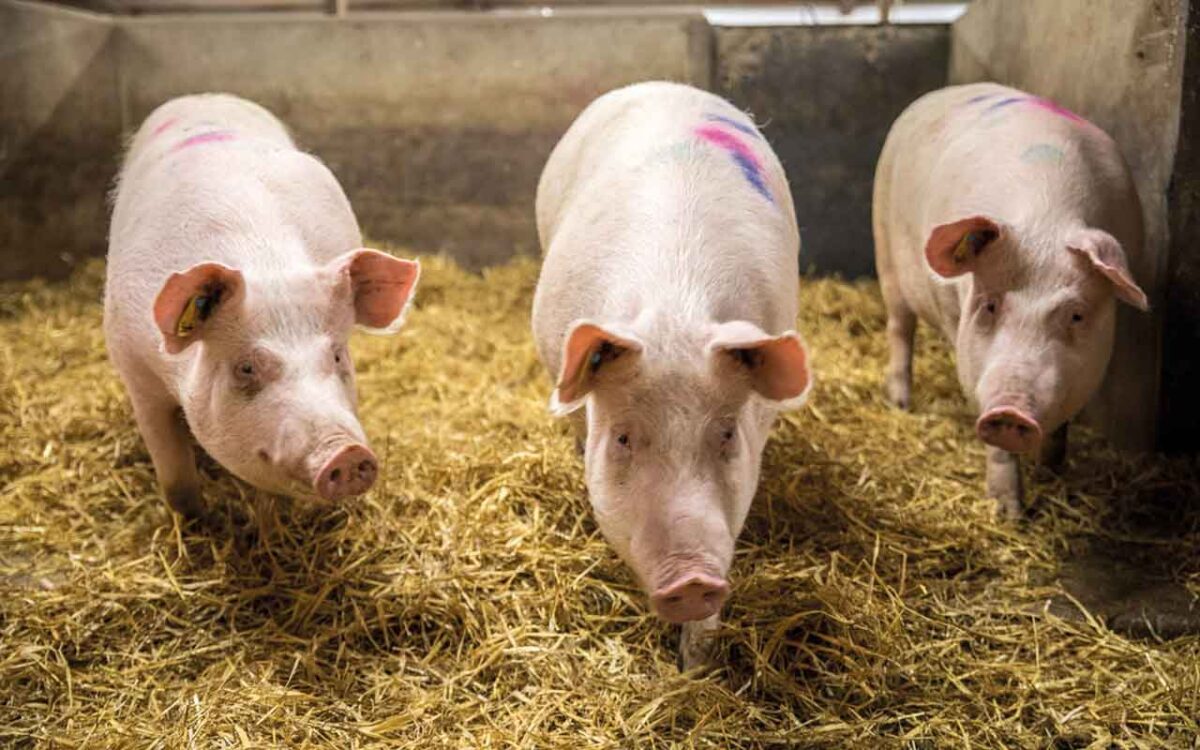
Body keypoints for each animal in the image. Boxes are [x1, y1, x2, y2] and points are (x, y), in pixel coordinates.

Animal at [105, 93, 419, 518]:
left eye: (337, 355)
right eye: (247, 367)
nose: (346, 452)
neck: (267, 263)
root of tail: (206, 95)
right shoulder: (136, 370)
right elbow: (173, 471)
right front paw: (193, 519)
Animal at [532, 81, 811, 669]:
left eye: (726, 433)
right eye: (623, 438)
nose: (693, 580)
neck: (674, 310)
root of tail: (666, 84)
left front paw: (694, 666)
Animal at [873, 83, 1149, 517]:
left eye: (1076, 315)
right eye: (989, 305)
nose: (1010, 409)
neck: (1047, 221)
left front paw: (1052, 468)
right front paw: (1010, 514)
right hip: (884, 246)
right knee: (900, 328)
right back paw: (900, 403)